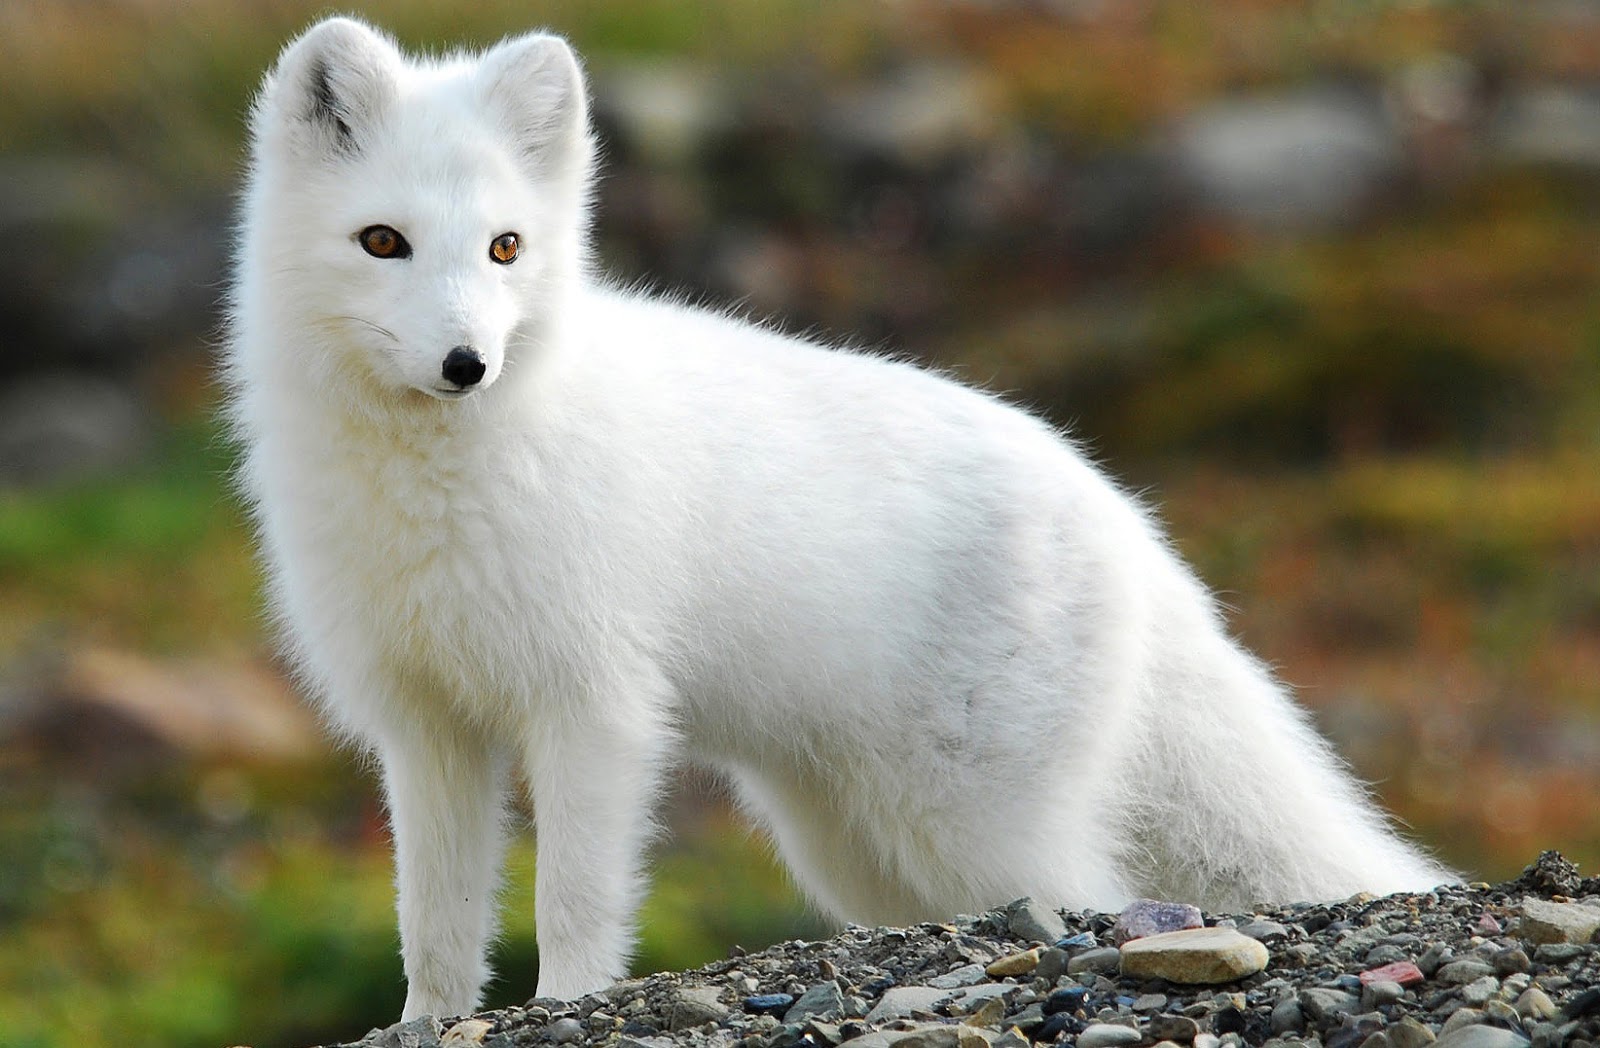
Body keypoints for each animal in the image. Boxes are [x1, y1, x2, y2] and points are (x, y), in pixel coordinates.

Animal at [226, 16, 1453, 1021]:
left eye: (506, 247)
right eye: (382, 241)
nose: (465, 363)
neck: (432, 488)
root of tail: (1124, 516)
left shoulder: (595, 706)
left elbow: (573, 900)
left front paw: (566, 1001)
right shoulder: (425, 723)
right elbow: (433, 924)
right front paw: (424, 1021)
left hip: (973, 824)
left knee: (1092, 897)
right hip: (851, 842)